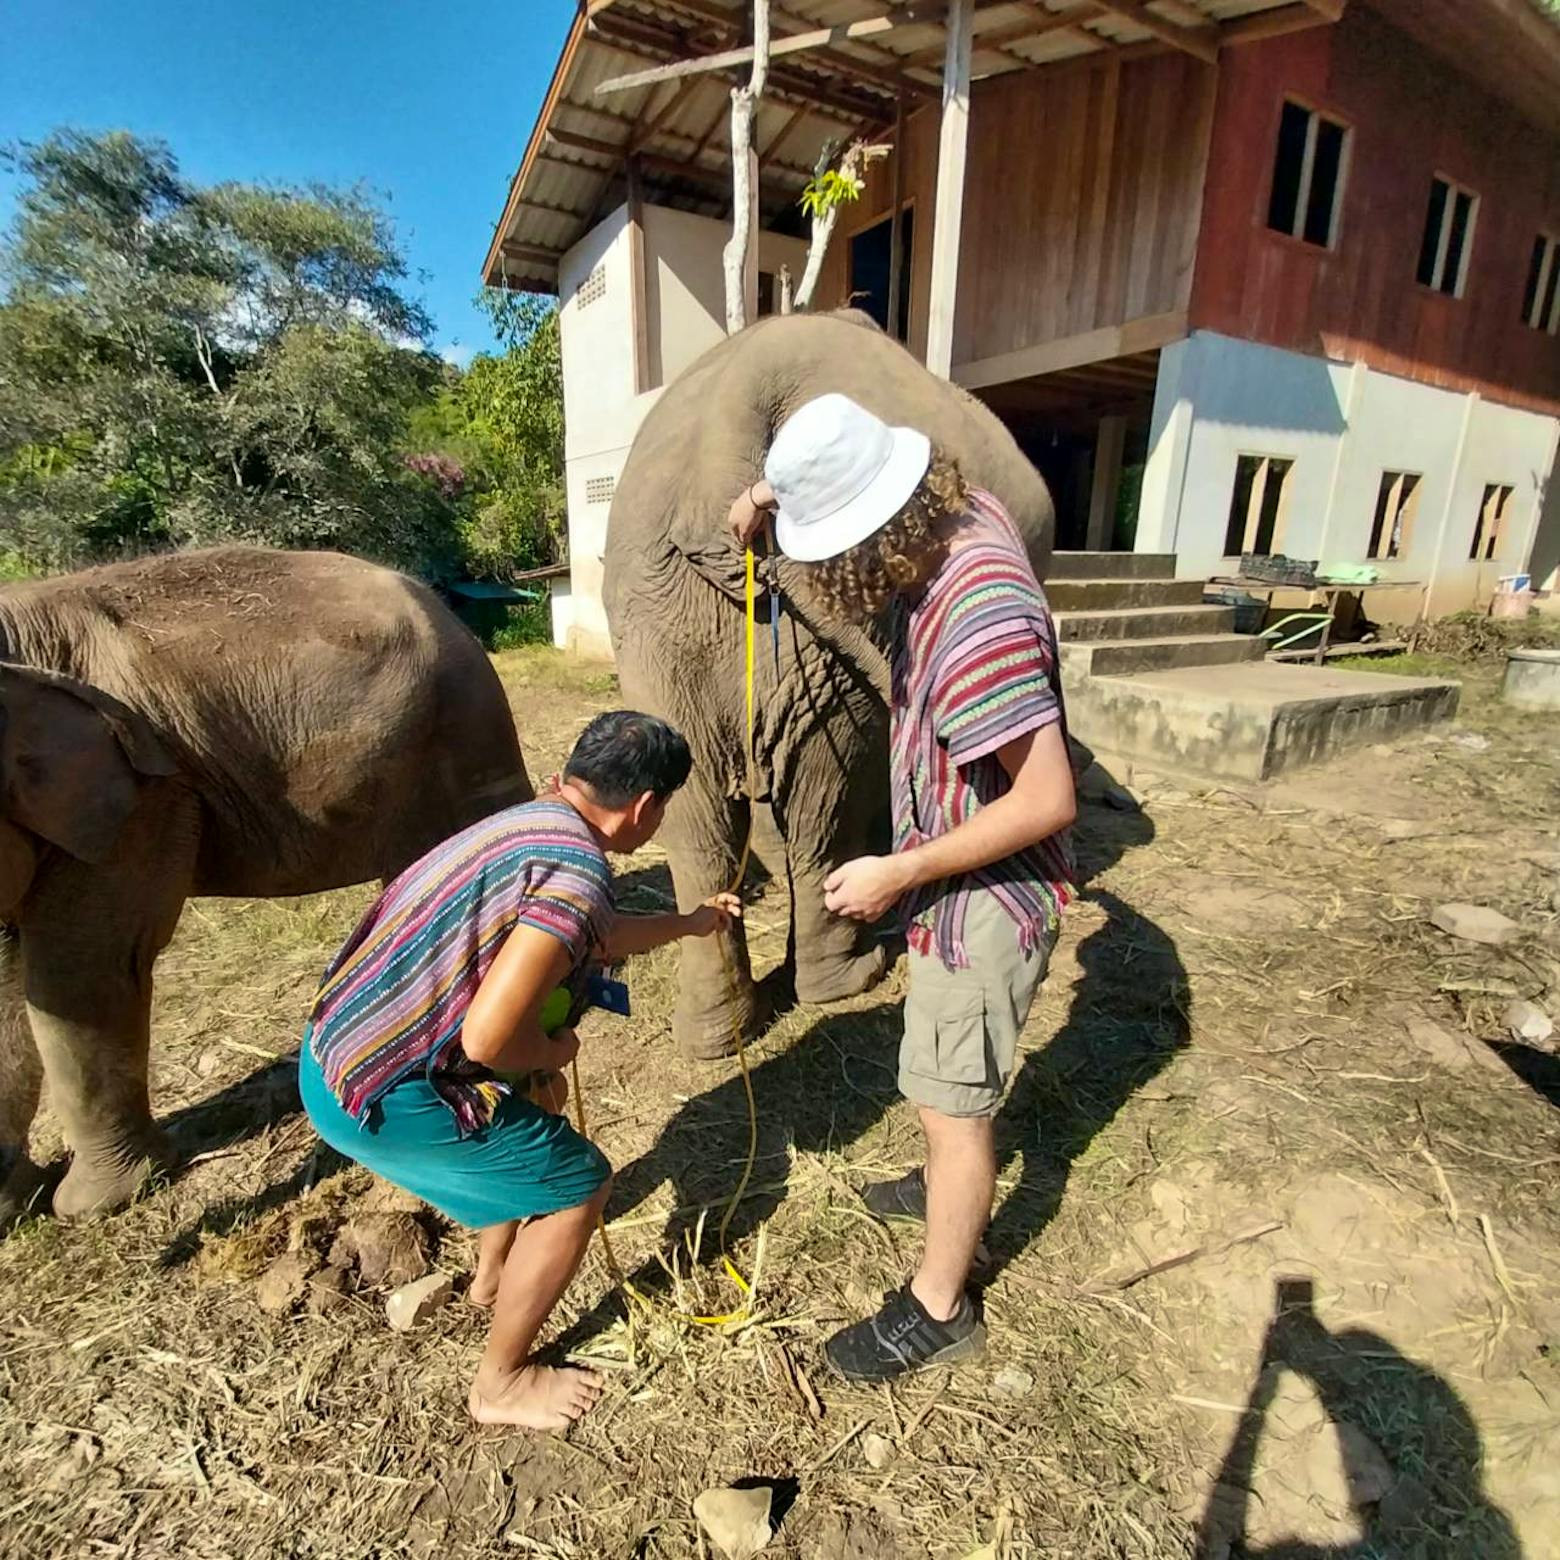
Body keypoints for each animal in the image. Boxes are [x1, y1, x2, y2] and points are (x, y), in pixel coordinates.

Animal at [603, 310, 1054, 1060]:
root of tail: (729, 425)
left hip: (661, 629)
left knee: (701, 825)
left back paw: (715, 1037)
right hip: (802, 640)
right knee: (827, 805)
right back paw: (852, 977)